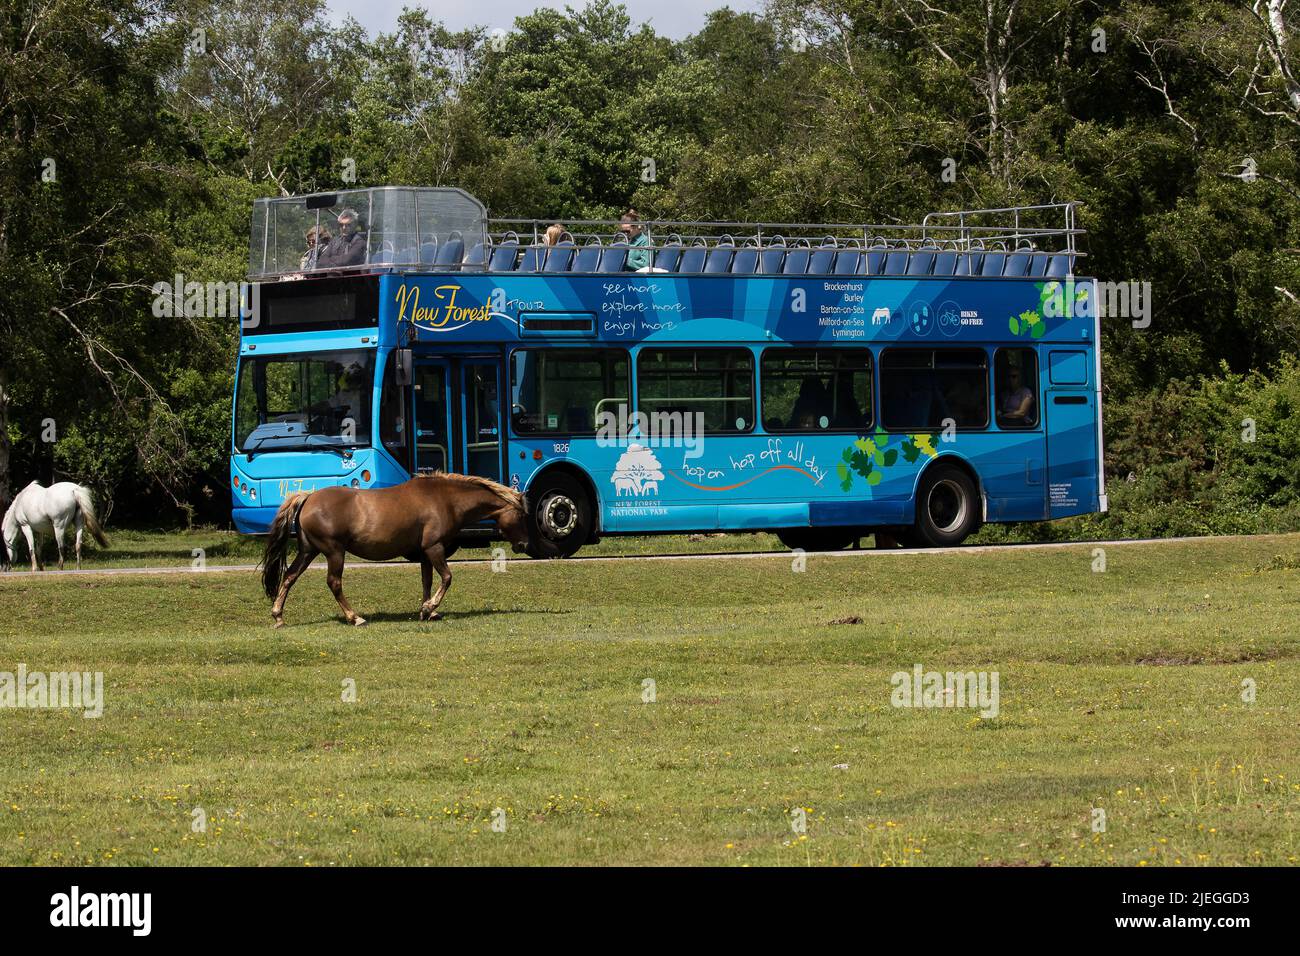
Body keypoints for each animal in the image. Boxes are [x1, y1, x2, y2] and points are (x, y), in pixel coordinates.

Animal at [260, 473, 533, 628]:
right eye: (521, 515)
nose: (524, 545)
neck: (445, 499)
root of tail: (307, 498)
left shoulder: (424, 553)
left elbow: (427, 581)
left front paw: (428, 611)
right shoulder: (434, 548)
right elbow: (447, 577)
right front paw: (429, 608)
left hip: (308, 551)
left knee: (289, 577)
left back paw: (278, 616)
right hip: (334, 552)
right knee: (334, 583)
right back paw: (355, 617)